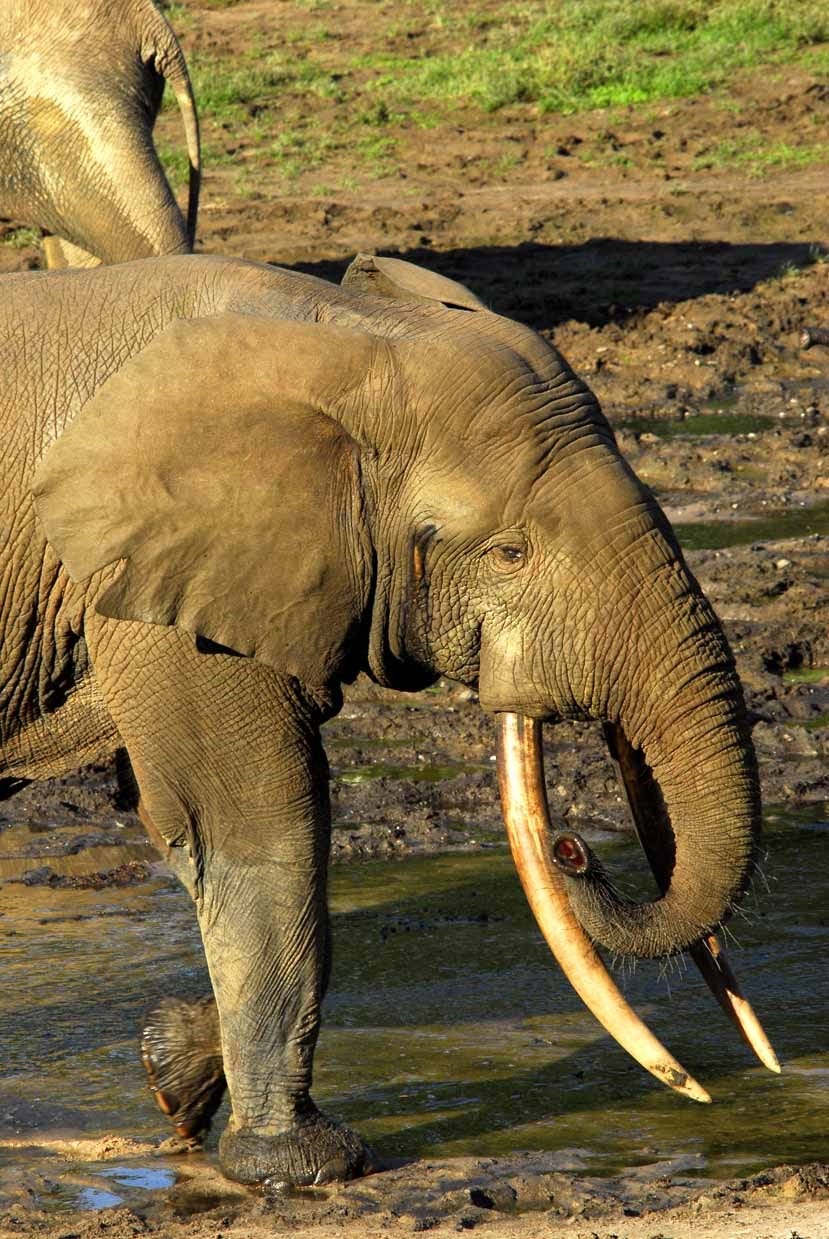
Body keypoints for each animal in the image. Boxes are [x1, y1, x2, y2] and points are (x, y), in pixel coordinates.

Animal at [0, 250, 777, 1188]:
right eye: (509, 552)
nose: (571, 847)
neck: (341, 334)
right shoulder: (153, 579)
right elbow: (259, 822)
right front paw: (305, 1164)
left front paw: (176, 1066)